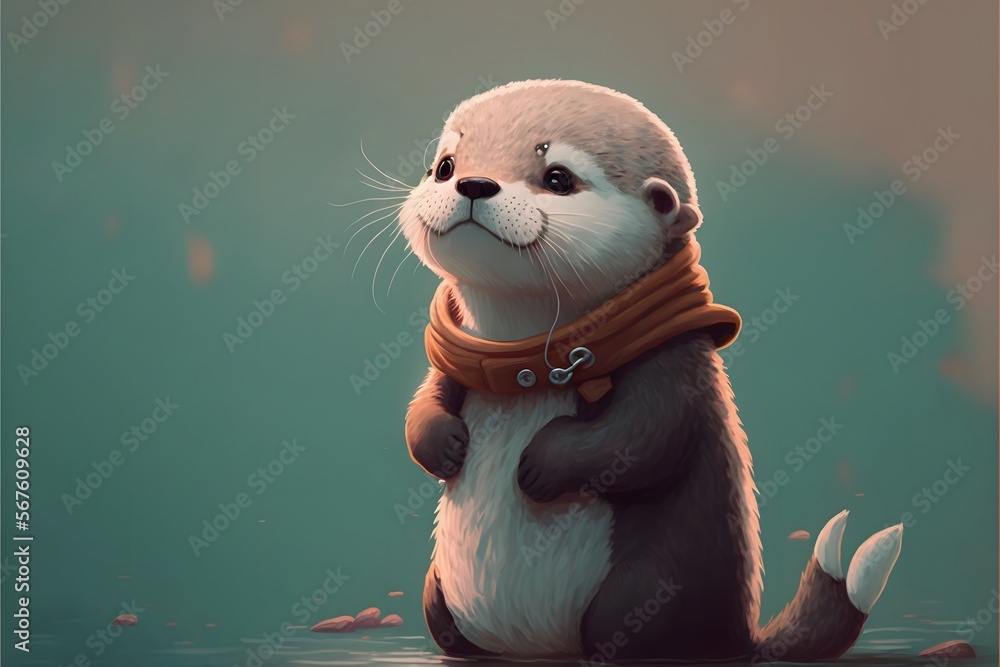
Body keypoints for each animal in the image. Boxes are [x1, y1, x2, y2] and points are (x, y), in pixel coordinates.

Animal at [397, 79, 903, 661]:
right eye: (445, 166)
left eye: (557, 177)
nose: (474, 183)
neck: (524, 363)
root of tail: (737, 637)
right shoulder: (456, 358)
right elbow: (426, 399)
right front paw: (443, 444)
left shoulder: (675, 360)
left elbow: (648, 435)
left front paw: (541, 463)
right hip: (438, 591)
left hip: (649, 585)